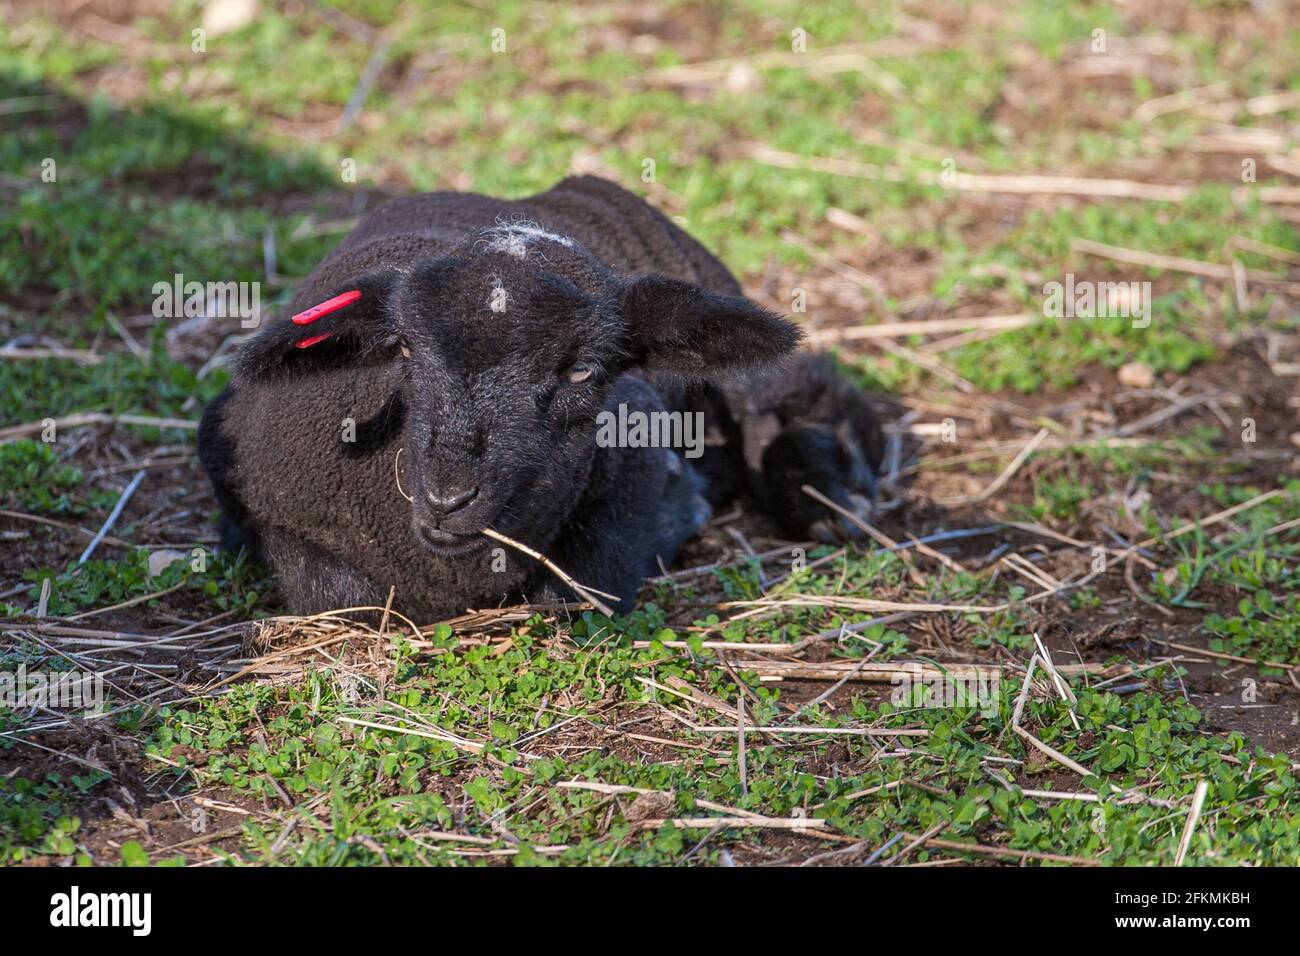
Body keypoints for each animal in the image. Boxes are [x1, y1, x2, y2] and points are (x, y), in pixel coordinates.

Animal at [198, 175, 884, 620]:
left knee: (798, 395)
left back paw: (829, 499)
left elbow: (572, 594)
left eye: (582, 372)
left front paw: (681, 509)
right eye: (405, 351)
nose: (448, 498)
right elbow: (344, 598)